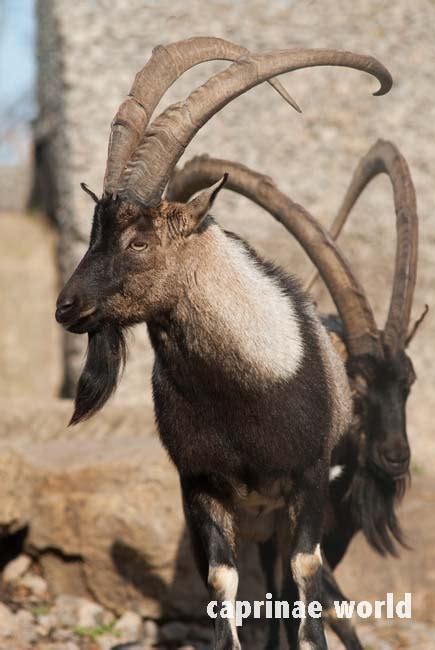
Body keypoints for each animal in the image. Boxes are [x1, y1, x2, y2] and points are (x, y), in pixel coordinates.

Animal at [55, 37, 392, 649]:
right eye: (94, 233)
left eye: (139, 241)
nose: (67, 308)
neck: (243, 391)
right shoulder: (200, 488)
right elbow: (222, 586)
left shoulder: (308, 482)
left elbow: (307, 583)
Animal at [166, 140, 423, 649]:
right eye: (356, 386)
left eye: (408, 382)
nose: (395, 457)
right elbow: (320, 602)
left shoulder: (331, 527)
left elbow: (314, 599)